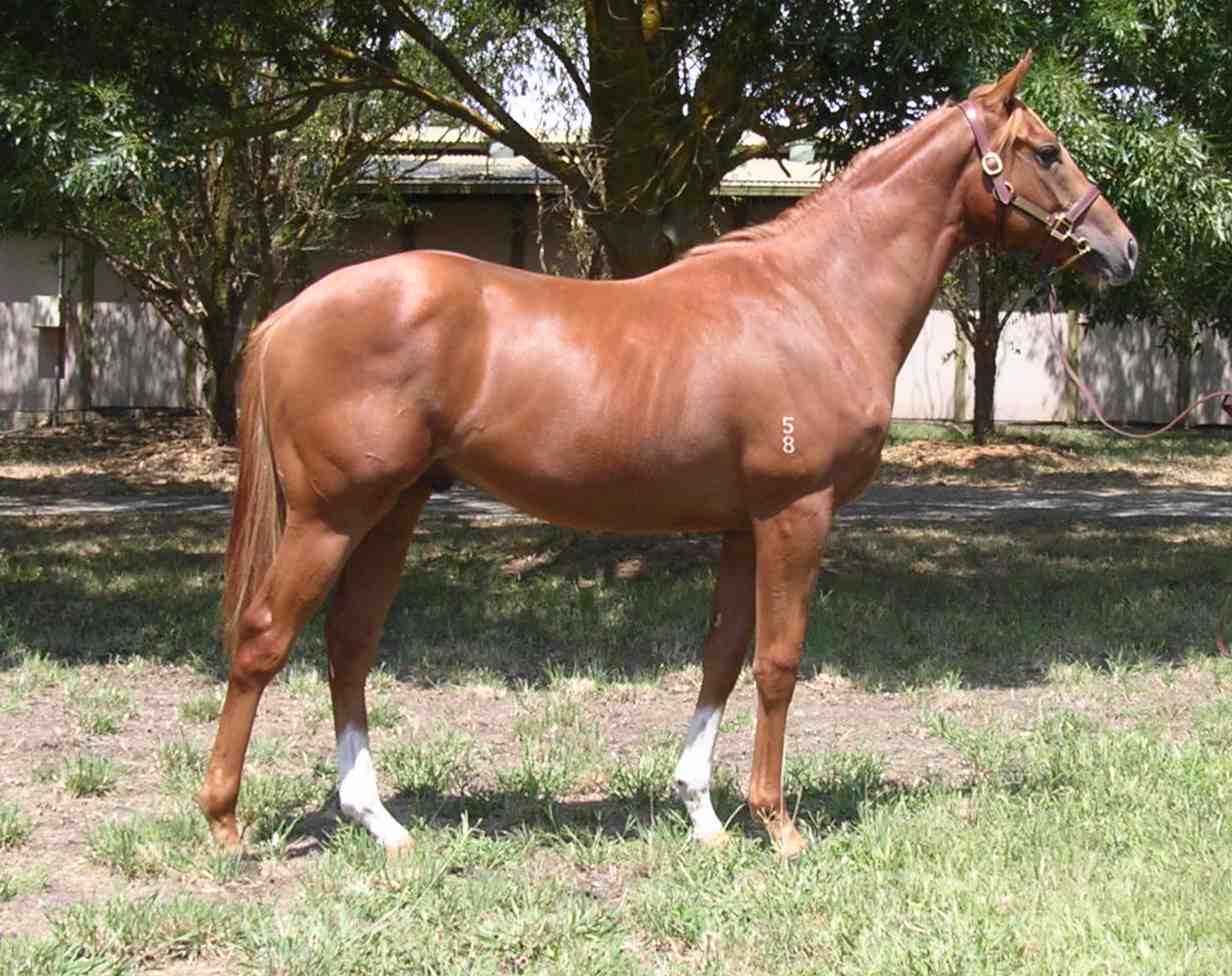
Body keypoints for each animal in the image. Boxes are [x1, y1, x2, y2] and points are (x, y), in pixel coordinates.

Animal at [198, 53, 1136, 858]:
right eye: (1047, 150)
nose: (1124, 249)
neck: (816, 299)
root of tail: (290, 315)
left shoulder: (743, 525)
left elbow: (721, 653)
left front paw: (702, 811)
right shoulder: (796, 513)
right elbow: (778, 661)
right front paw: (777, 822)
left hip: (394, 509)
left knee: (349, 644)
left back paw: (379, 822)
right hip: (330, 517)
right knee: (265, 637)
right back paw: (225, 822)